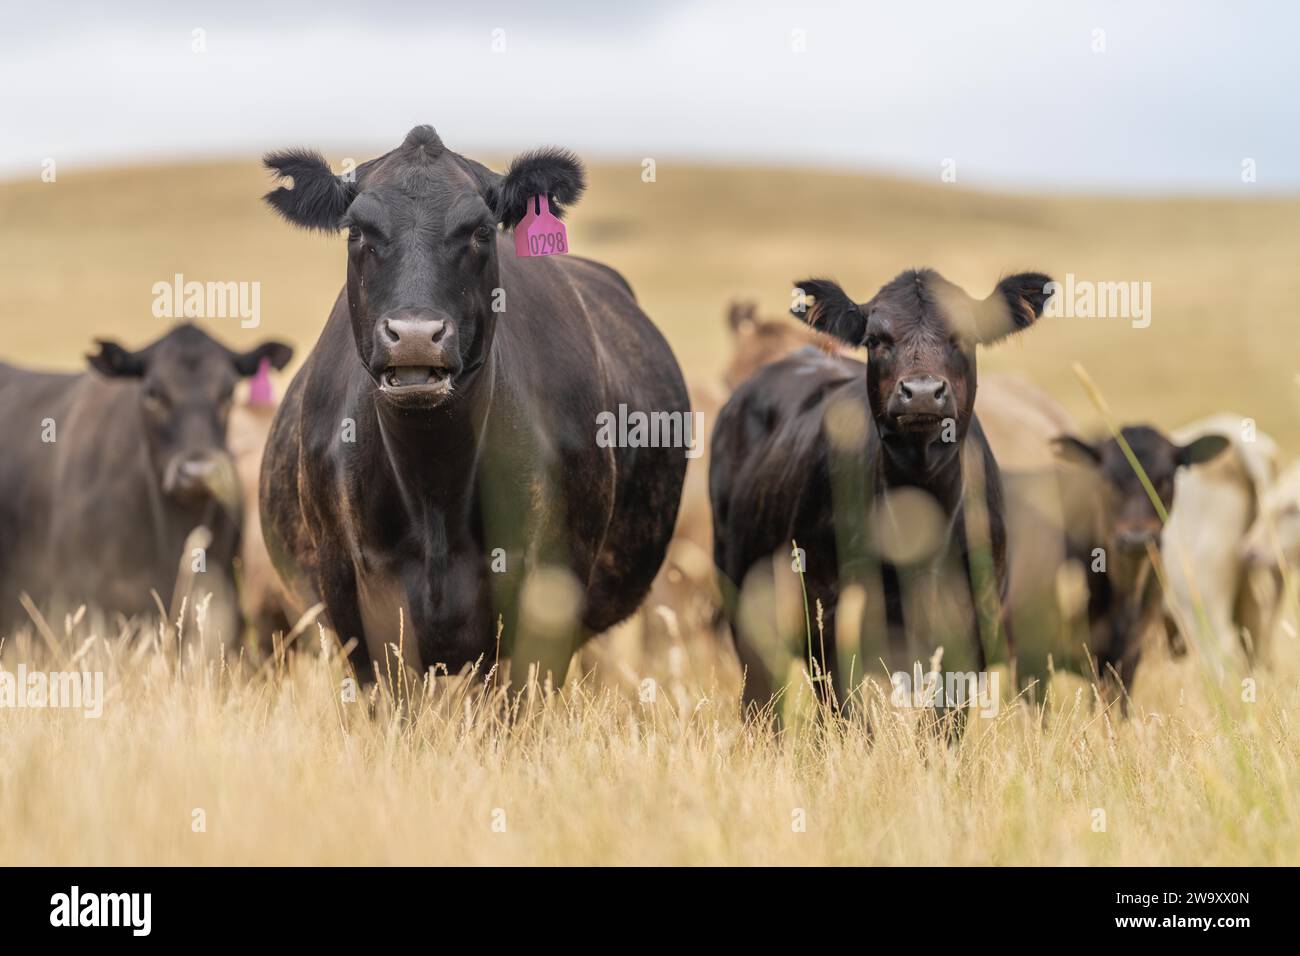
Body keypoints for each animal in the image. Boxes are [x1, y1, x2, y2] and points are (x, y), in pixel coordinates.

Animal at [257, 125, 689, 689]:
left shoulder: (548, 597)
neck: (434, 490)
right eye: (357, 231)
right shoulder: (355, 599)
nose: (415, 336)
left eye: (481, 231)